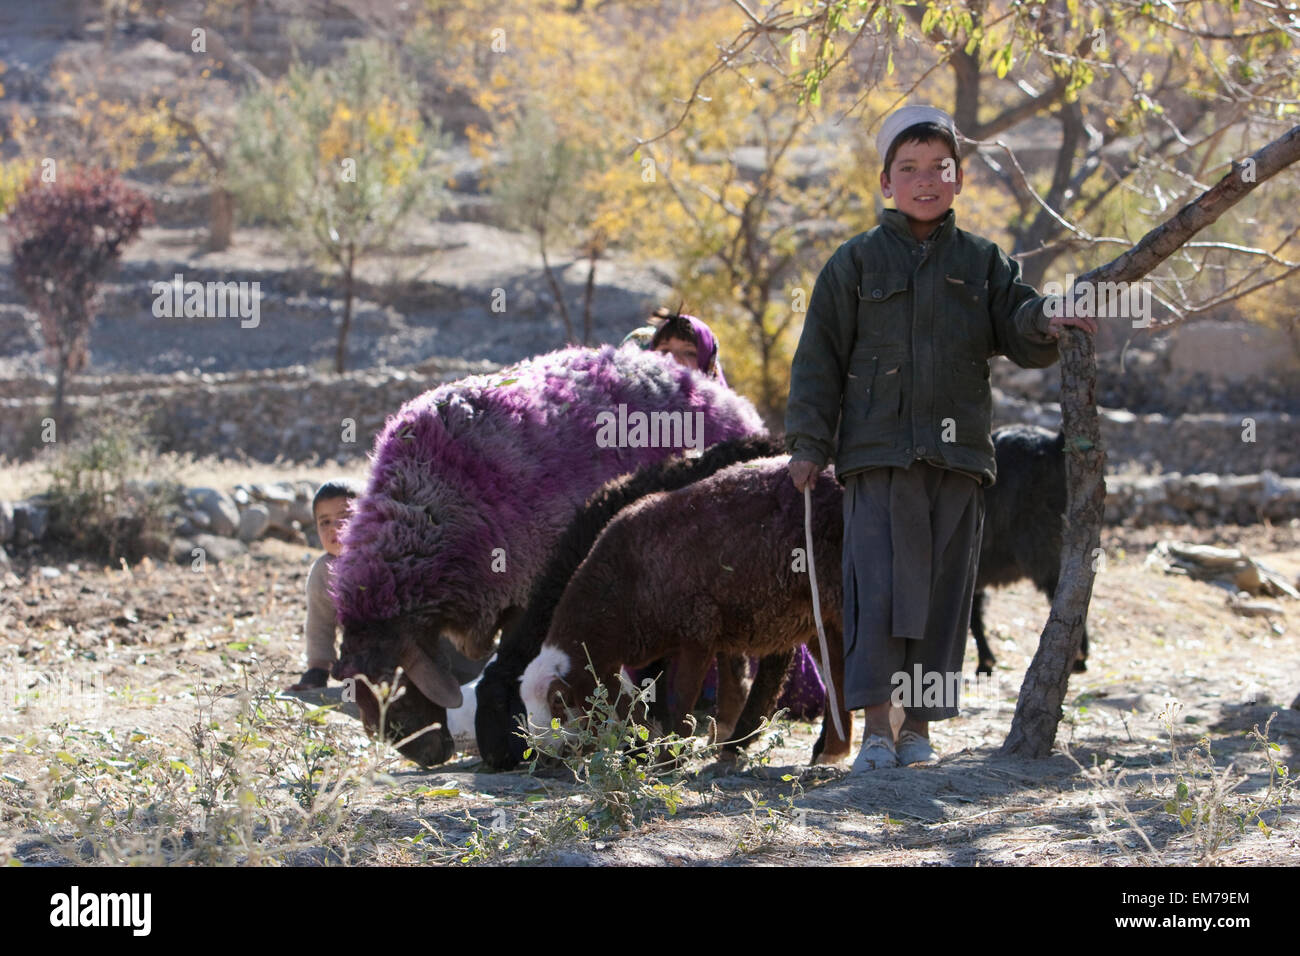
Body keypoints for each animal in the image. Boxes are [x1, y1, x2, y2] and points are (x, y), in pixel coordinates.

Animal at [520, 456, 853, 765]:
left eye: (558, 704)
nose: (543, 754)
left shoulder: (699, 629)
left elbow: (682, 698)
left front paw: (672, 753)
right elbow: (643, 703)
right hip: (817, 617)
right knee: (837, 674)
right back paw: (833, 750)